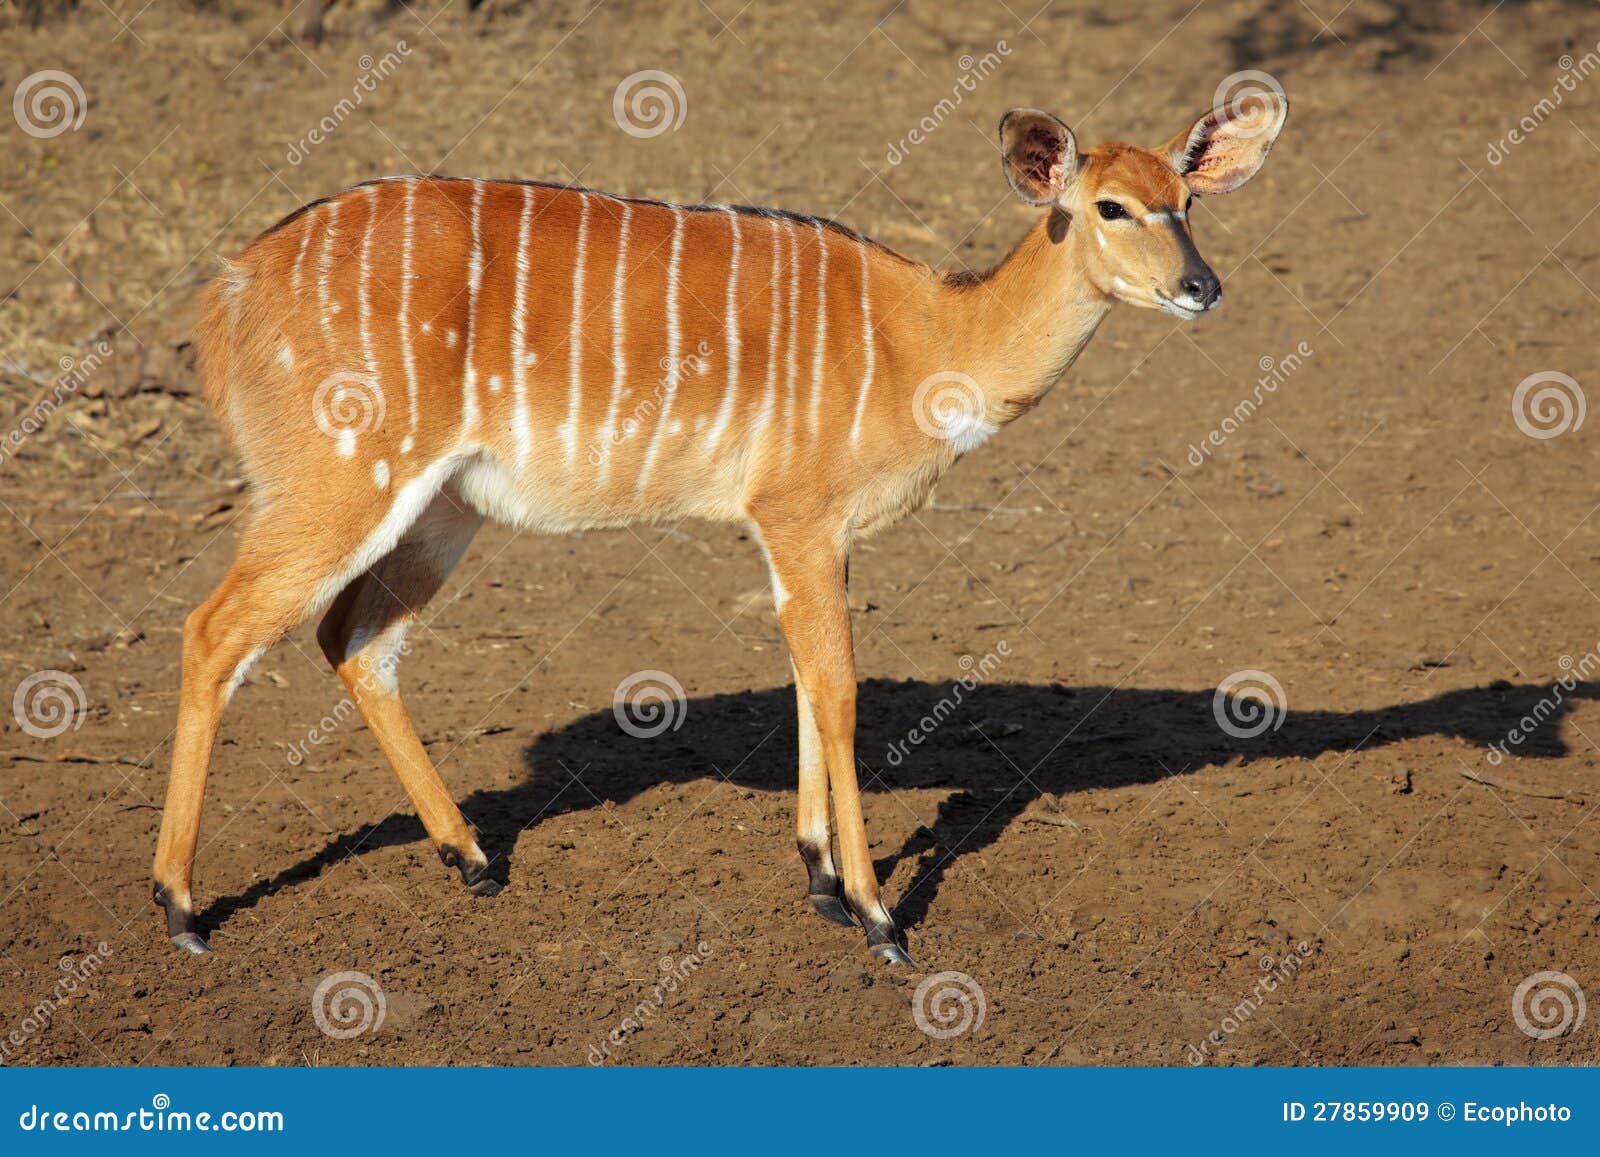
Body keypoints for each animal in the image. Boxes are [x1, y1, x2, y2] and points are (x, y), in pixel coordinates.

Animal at [154, 89, 1287, 963]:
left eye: (1188, 200)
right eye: (1109, 205)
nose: (1202, 286)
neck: (923, 339)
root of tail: (226, 295)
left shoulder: (799, 536)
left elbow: (804, 678)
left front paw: (820, 881)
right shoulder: (799, 516)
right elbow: (838, 690)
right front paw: (877, 917)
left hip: (439, 506)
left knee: (353, 638)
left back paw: (472, 860)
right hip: (337, 483)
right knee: (216, 629)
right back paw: (180, 908)